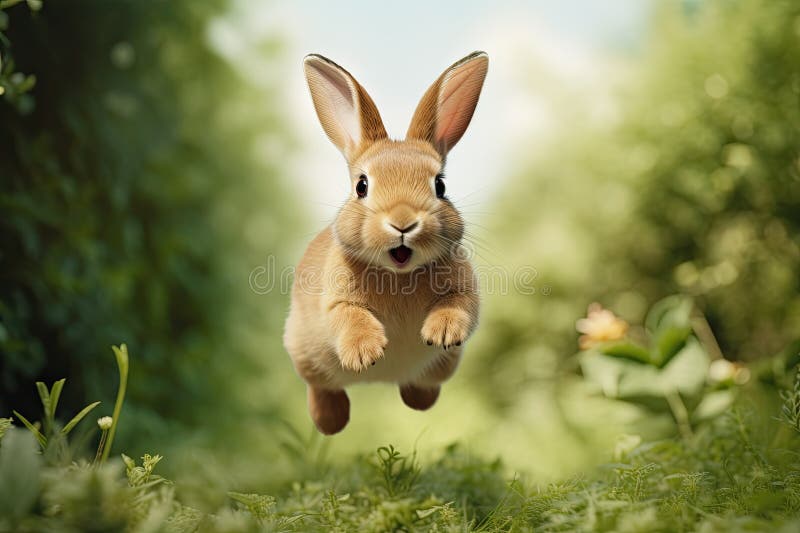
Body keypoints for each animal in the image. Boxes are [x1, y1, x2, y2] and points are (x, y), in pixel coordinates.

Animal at [283, 51, 488, 435]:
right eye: (362, 185)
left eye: (440, 186)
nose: (403, 221)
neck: (398, 273)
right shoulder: (335, 302)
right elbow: (349, 316)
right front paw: (366, 353)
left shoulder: (466, 291)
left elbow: (459, 304)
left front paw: (441, 332)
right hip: (304, 352)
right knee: (322, 387)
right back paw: (331, 423)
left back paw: (417, 399)